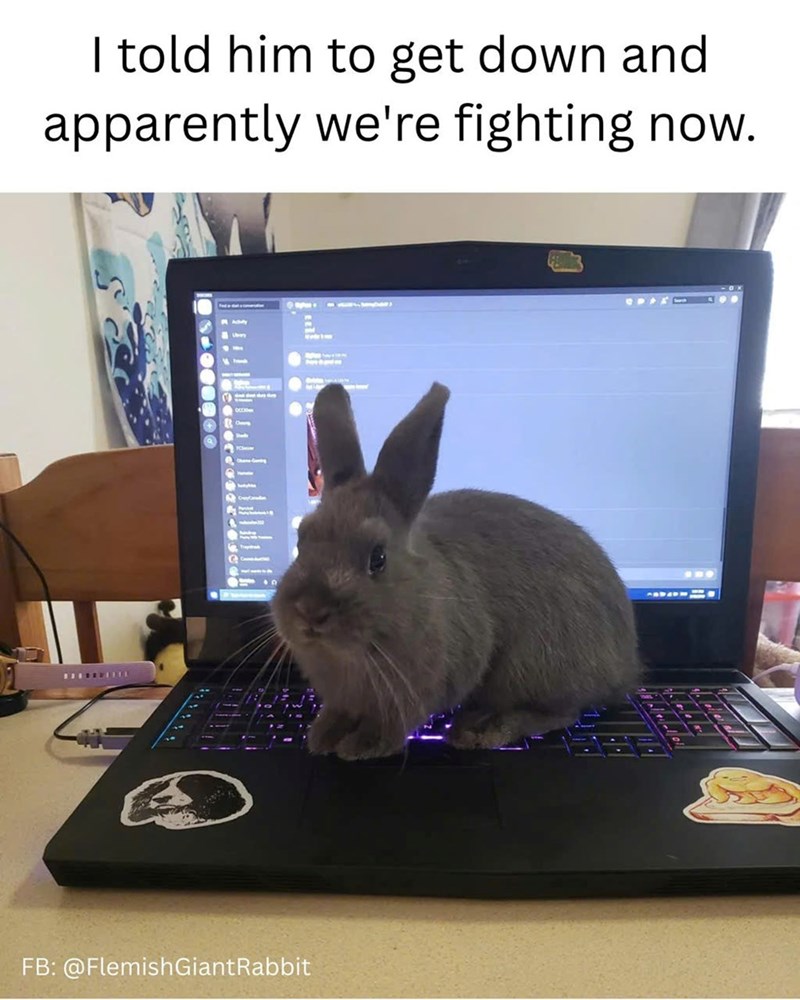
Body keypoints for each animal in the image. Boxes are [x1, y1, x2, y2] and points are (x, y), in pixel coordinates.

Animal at [271, 381, 642, 761]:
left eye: (378, 558)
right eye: (302, 539)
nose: (310, 610)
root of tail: (626, 664)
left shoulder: (418, 690)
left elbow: (394, 722)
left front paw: (364, 745)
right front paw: (322, 737)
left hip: (538, 667)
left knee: (561, 712)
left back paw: (480, 728)